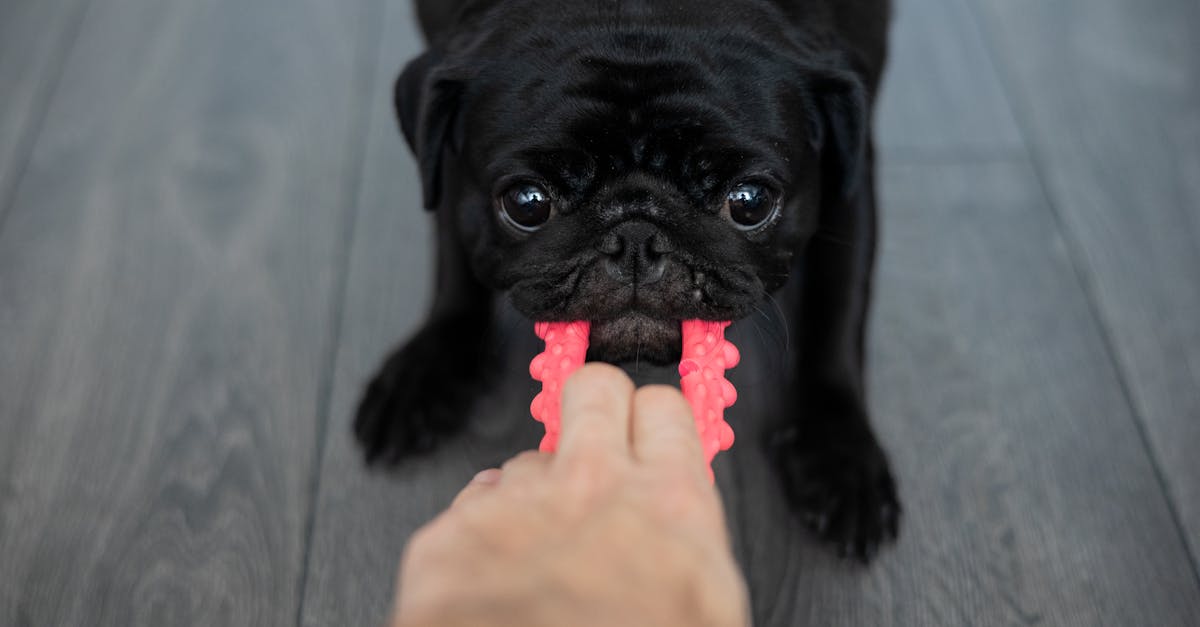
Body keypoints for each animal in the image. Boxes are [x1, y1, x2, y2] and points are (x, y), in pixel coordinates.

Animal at [355, 0, 902, 557]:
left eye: (750, 202)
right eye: (526, 203)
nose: (637, 235)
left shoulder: (851, 168)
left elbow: (837, 309)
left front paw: (838, 452)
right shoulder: (447, 160)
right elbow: (455, 257)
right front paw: (427, 369)